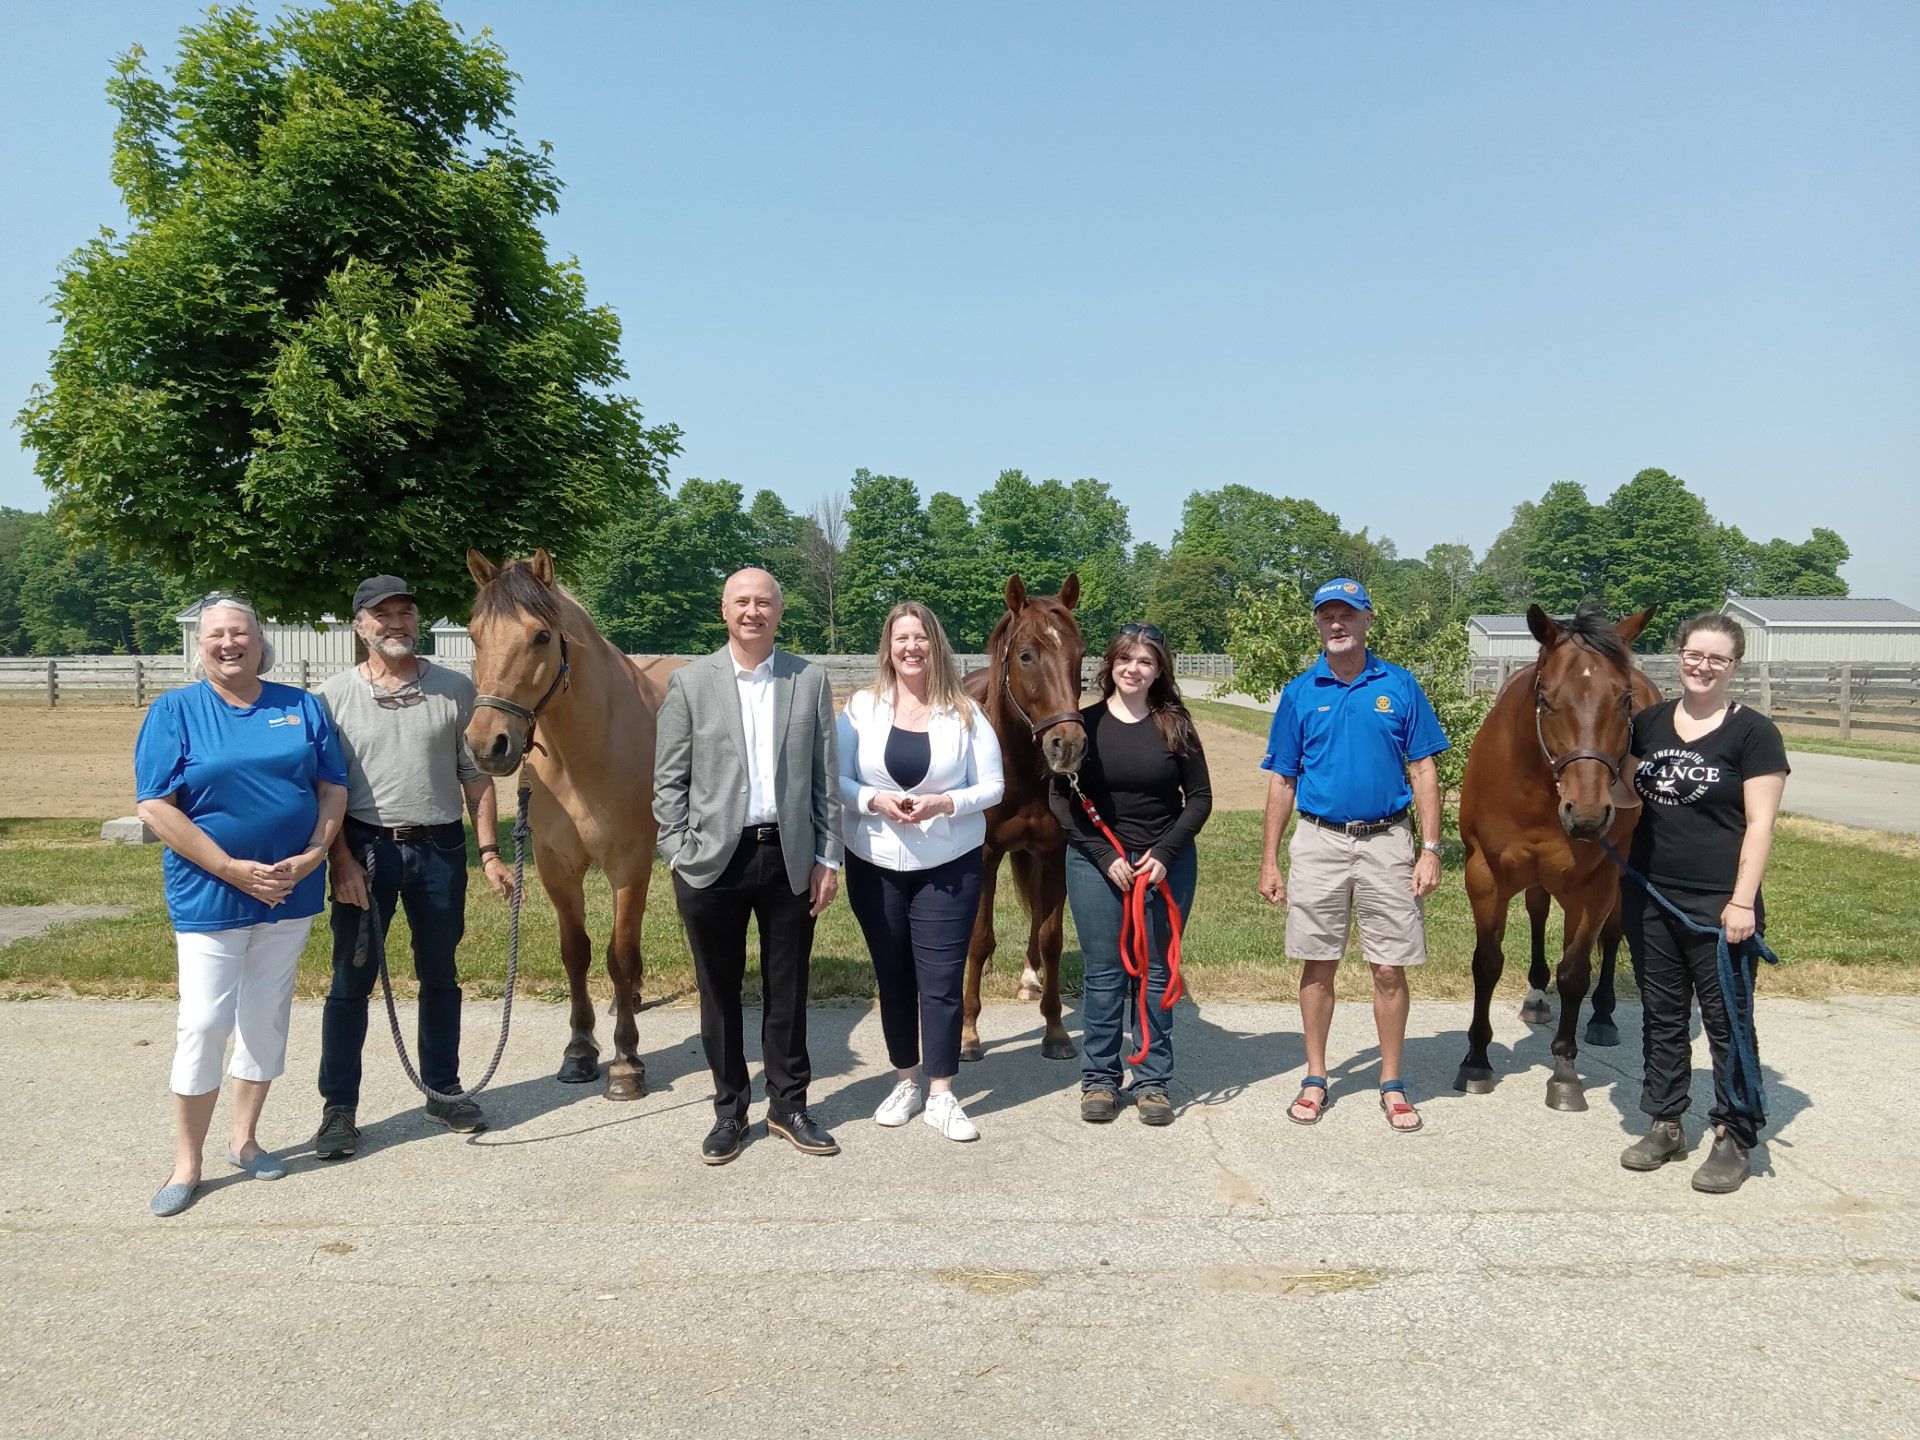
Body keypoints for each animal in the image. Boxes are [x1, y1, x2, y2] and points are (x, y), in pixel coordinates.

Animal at [462, 548, 682, 1102]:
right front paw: (580, 1052)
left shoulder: (628, 863)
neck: (584, 750)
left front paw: (626, 1063)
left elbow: (619, 955)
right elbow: (576, 952)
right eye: (474, 635)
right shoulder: (555, 865)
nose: (486, 745)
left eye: (541, 635)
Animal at [958, 574, 1089, 1064]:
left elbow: (1050, 937)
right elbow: (979, 939)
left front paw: (1055, 1031)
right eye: (1026, 655)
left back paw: (1029, 980)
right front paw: (968, 1033)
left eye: (1080, 654)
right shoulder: (984, 855)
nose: (1067, 745)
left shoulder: (1052, 853)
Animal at [1455, 601, 1659, 1110]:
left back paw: (1602, 1017)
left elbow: (1575, 973)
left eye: (1625, 700)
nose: (1586, 815)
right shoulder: (1484, 874)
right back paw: (1534, 997)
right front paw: (1476, 1061)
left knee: (1610, 937)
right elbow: (1486, 963)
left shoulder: (1596, 884)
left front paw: (1565, 1073)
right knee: (1537, 912)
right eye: (1545, 699)